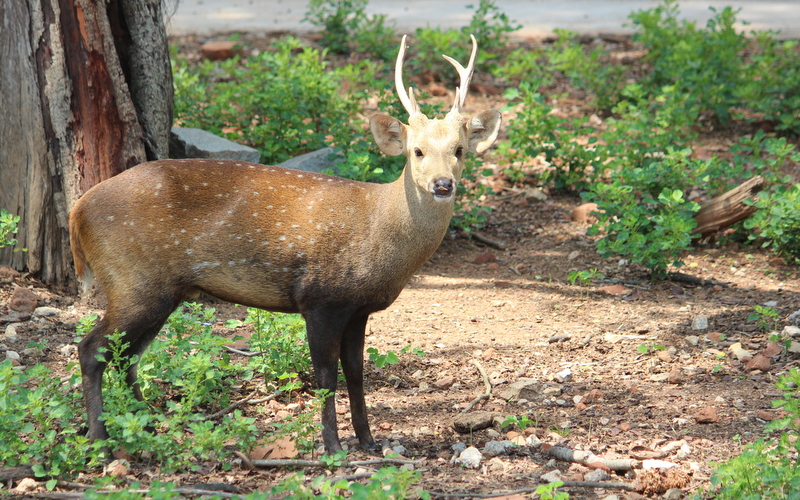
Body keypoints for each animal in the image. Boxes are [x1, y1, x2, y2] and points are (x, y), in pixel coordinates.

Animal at [69, 34, 501, 455]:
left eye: (460, 150)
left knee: (126, 357)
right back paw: (100, 445)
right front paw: (333, 448)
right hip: (133, 279)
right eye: (417, 151)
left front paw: (369, 441)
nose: (443, 185)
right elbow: (326, 376)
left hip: (158, 290)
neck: (380, 234)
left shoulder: (358, 308)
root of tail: (77, 210)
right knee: (91, 349)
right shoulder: (320, 298)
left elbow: (356, 373)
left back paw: (145, 429)